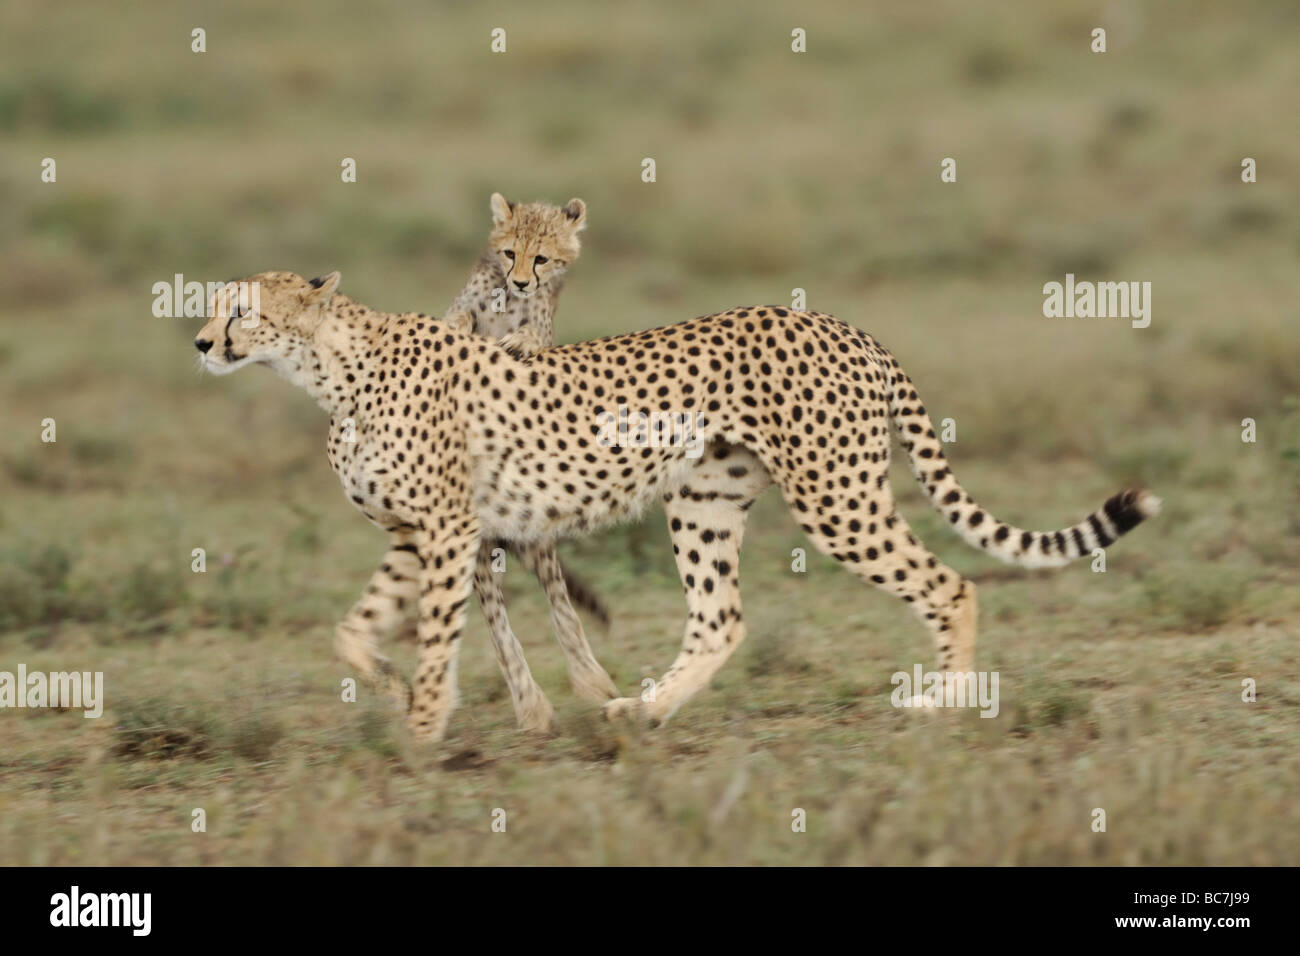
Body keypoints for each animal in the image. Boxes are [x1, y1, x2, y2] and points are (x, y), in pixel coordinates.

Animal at [193, 272, 1159, 743]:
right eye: (212, 306)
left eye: (240, 309)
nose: (201, 341)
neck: (328, 368)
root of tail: (848, 328)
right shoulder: (420, 531)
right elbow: (354, 630)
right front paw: (395, 687)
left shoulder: (447, 527)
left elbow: (435, 634)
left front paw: (426, 719)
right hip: (704, 501)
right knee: (722, 619)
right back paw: (645, 711)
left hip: (834, 496)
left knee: (950, 586)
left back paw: (944, 702)